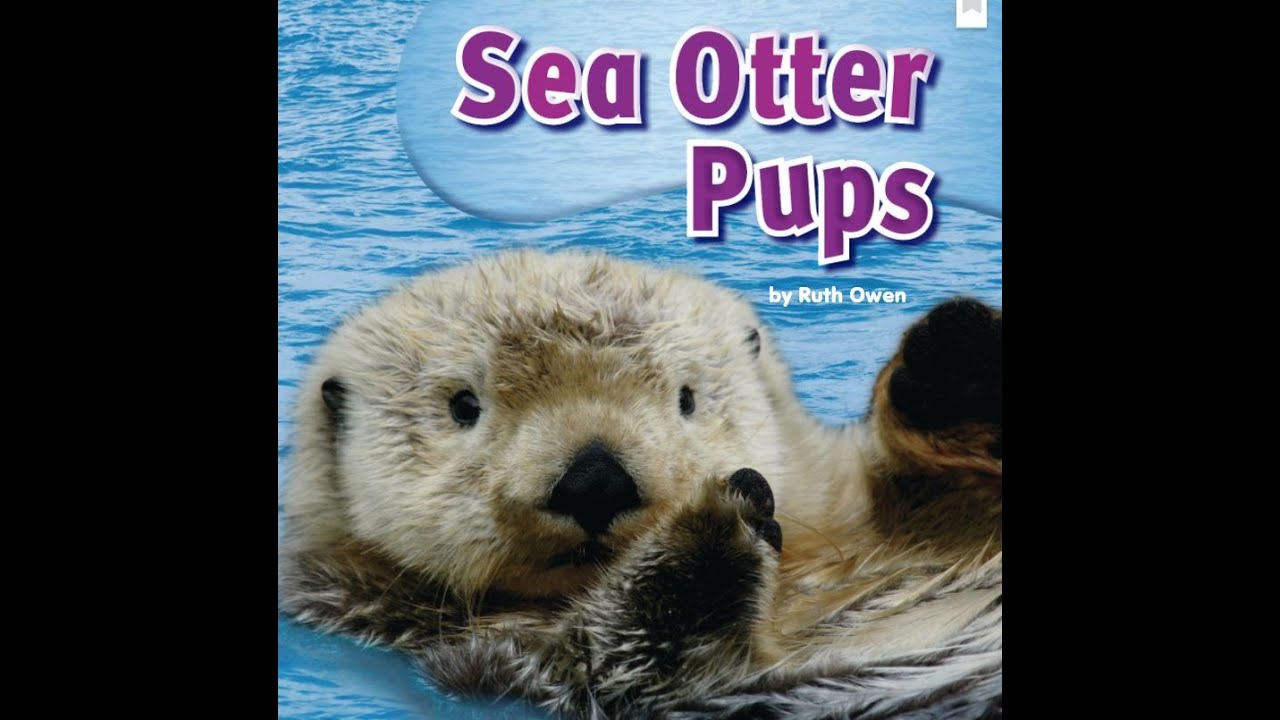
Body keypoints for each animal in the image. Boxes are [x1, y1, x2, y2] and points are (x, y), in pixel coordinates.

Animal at [279, 251, 1002, 718]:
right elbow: (624, 654)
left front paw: (955, 361)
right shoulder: (497, 655)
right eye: (463, 406)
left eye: (686, 398)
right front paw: (720, 519)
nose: (595, 480)